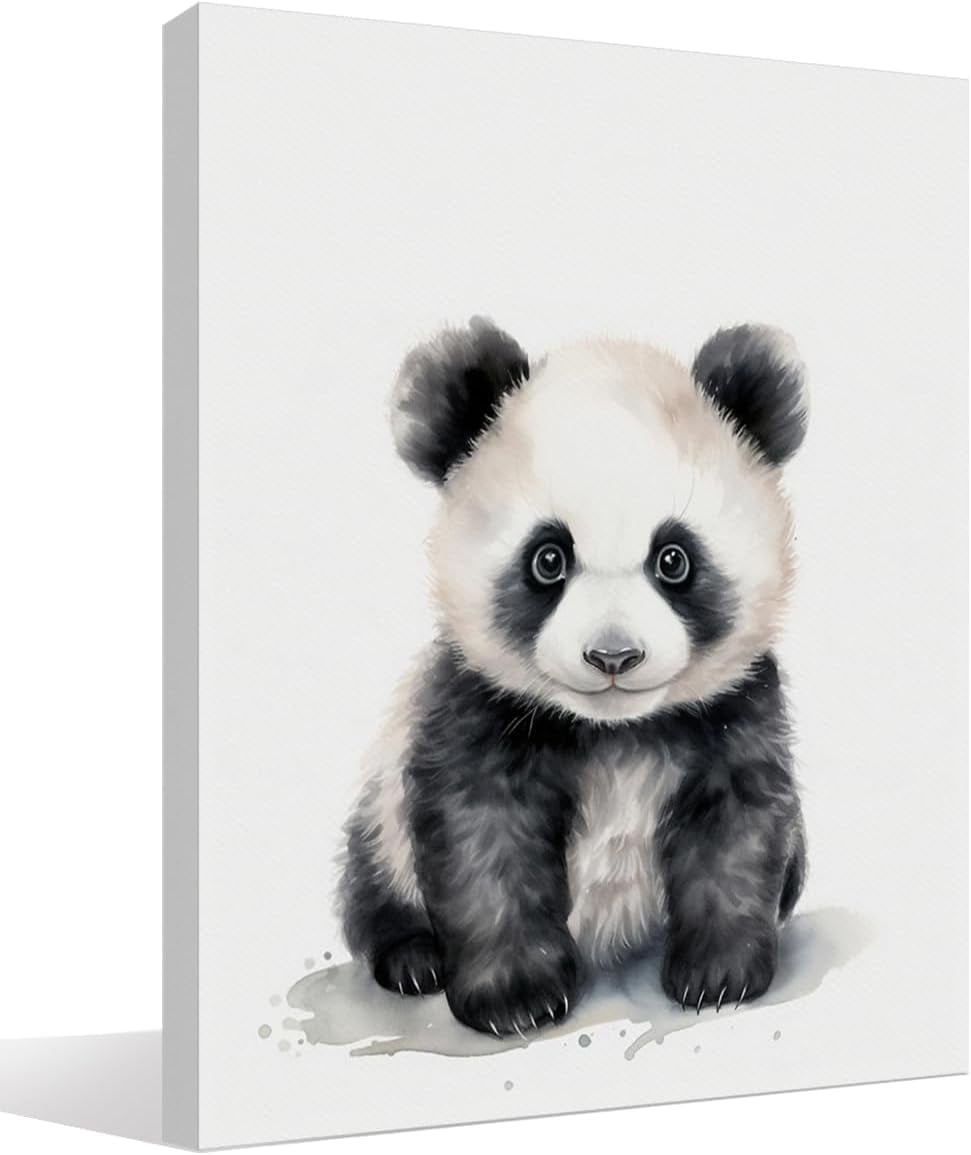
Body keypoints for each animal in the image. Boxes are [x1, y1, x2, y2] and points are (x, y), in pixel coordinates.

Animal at [339, 317, 808, 1037]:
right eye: (547, 558)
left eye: (673, 558)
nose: (613, 657)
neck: (614, 732)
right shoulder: (473, 709)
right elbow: (482, 839)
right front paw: (516, 997)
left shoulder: (736, 710)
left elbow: (738, 829)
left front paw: (718, 974)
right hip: (380, 809)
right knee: (371, 880)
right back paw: (412, 957)